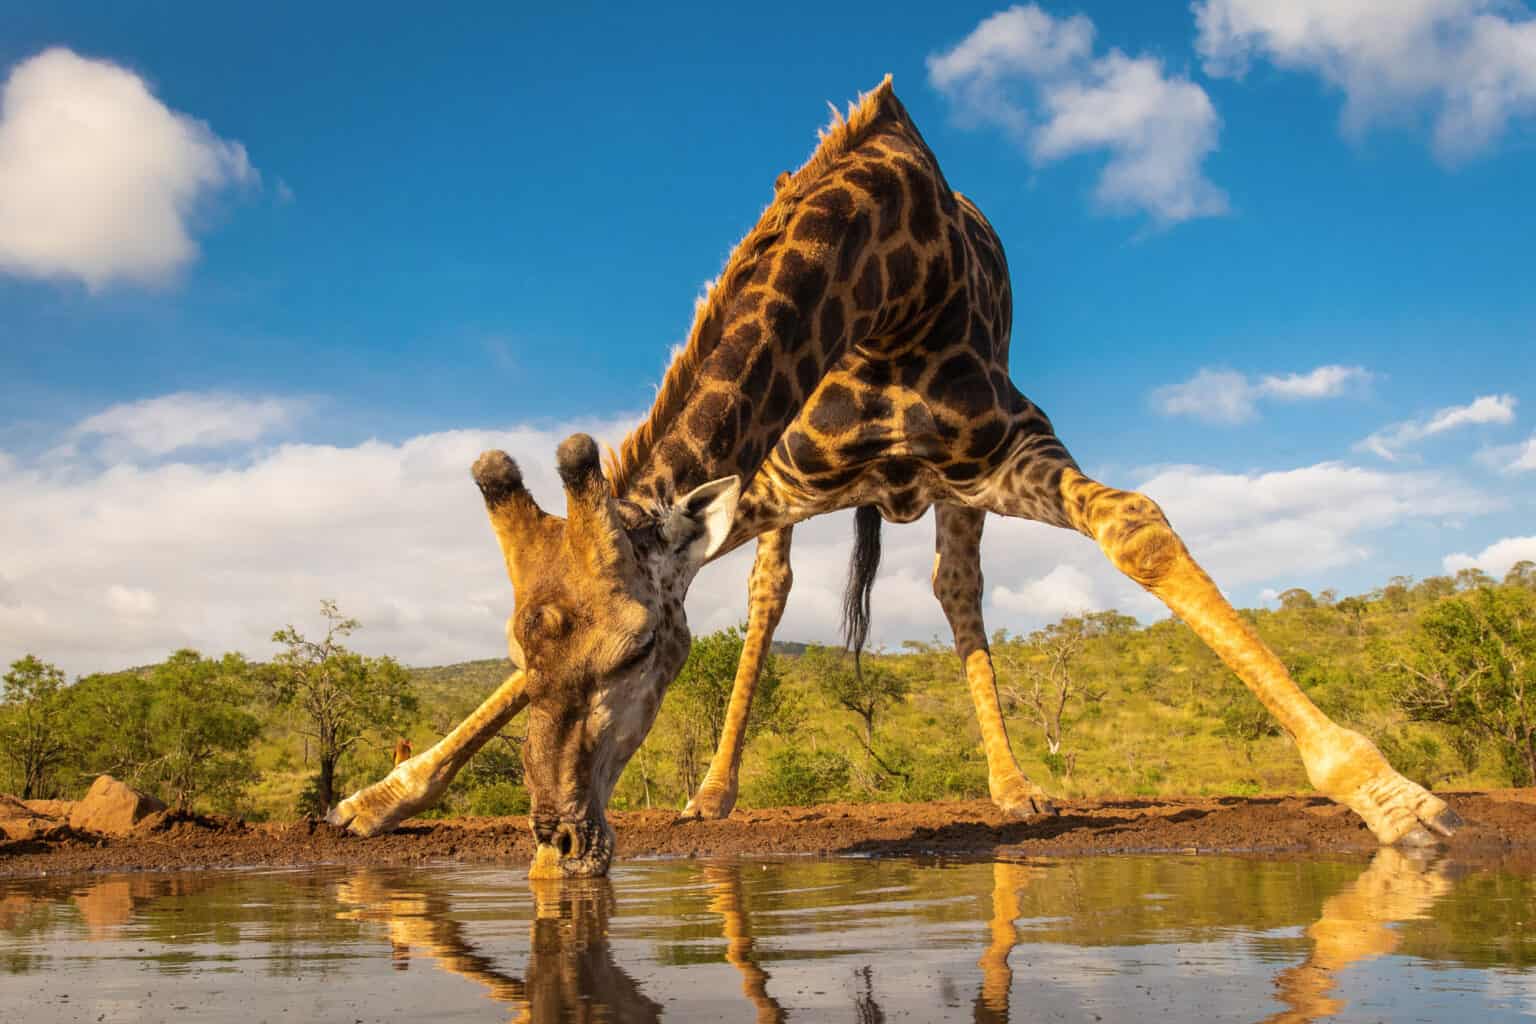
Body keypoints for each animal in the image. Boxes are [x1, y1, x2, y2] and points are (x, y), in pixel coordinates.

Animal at [328, 76, 1462, 876]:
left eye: (640, 649)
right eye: (519, 650)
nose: (559, 838)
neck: (888, 285)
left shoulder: (1009, 445)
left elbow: (1135, 525)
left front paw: (1387, 793)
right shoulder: (770, 483)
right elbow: (740, 597)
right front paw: (383, 796)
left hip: (956, 494)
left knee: (956, 587)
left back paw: (1014, 787)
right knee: (773, 593)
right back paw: (711, 793)